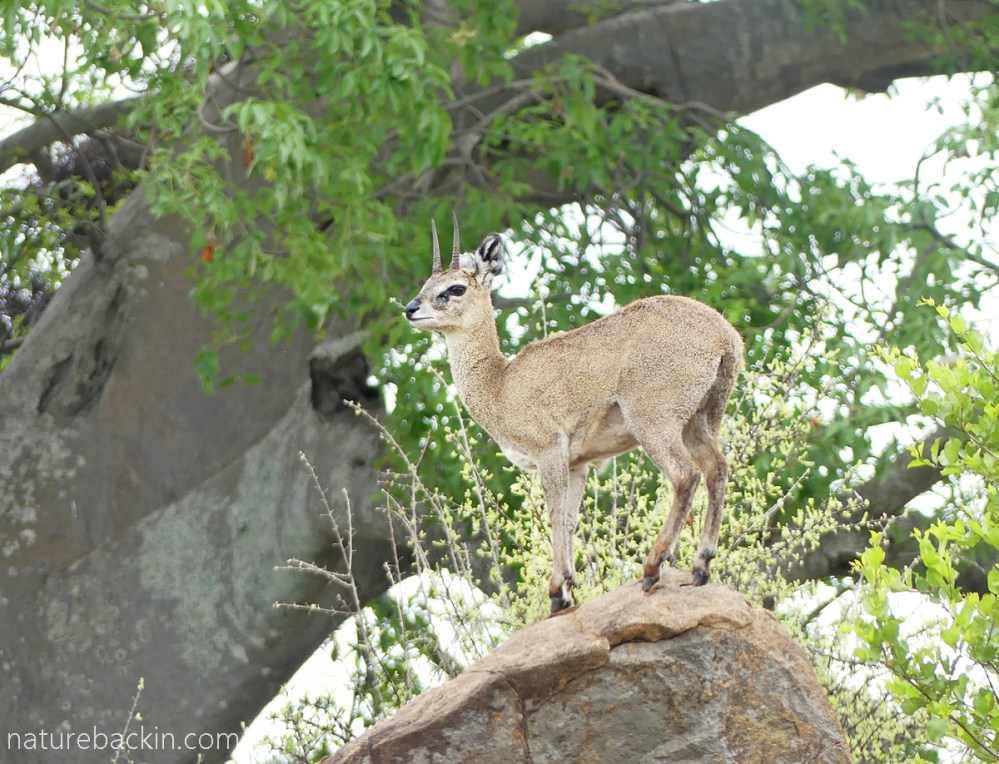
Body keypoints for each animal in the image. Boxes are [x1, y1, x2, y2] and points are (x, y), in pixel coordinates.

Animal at [403, 218, 744, 612]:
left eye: (455, 288)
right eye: (425, 286)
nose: (410, 308)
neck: (501, 383)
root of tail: (725, 337)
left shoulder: (549, 451)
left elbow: (554, 514)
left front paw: (556, 592)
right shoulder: (578, 463)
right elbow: (568, 519)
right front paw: (567, 589)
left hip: (655, 423)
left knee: (685, 475)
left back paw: (652, 567)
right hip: (701, 420)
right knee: (717, 469)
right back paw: (700, 567)